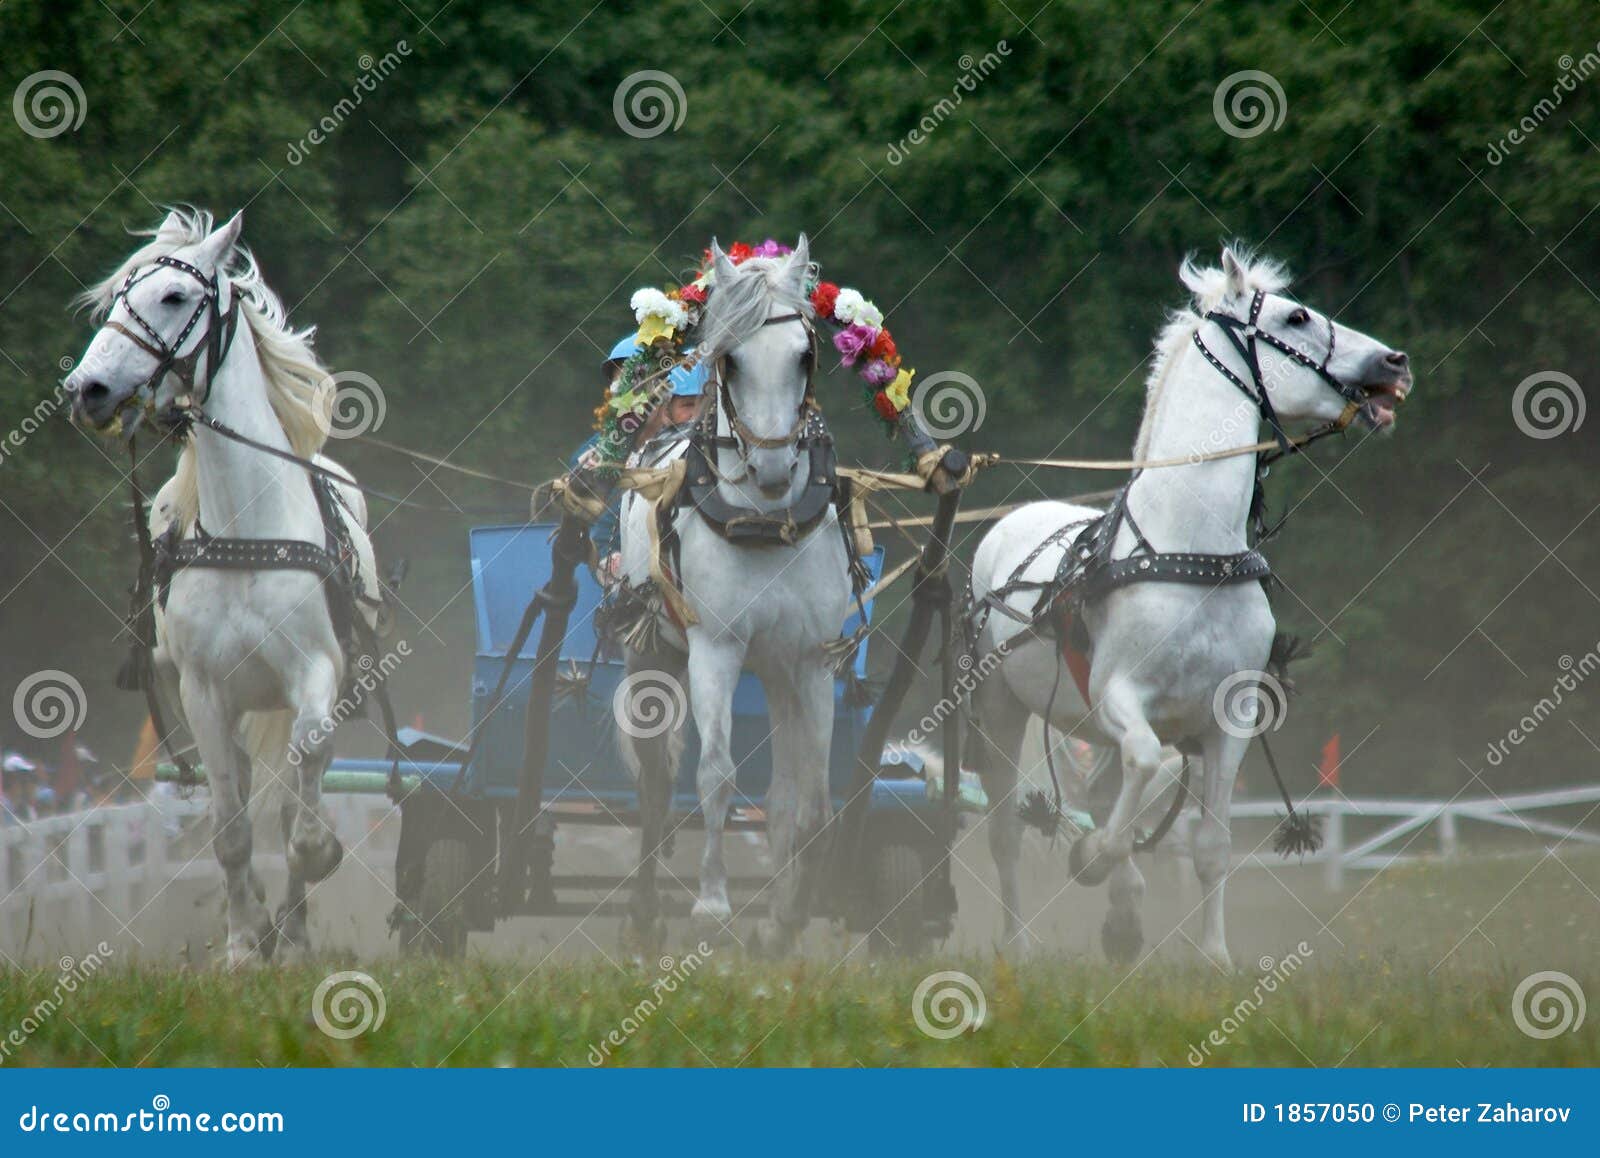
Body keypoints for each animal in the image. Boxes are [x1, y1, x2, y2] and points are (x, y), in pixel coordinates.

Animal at [66, 208, 380, 965]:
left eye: (174, 297)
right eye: (118, 295)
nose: (86, 390)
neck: (245, 527)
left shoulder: (315, 676)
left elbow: (301, 809)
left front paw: (300, 910)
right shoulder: (203, 694)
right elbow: (232, 828)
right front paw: (241, 945)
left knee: (299, 789)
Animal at [615, 235, 853, 954]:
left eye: (805, 355)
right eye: (732, 359)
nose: (773, 469)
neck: (766, 520)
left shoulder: (811, 660)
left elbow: (812, 796)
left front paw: (790, 915)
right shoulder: (714, 648)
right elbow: (714, 775)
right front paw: (713, 903)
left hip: (774, 670)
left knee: (782, 791)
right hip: (651, 653)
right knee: (657, 782)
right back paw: (644, 912)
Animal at [967, 245, 1413, 967]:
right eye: (1296, 316)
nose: (1395, 362)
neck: (1190, 552)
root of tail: (1013, 520)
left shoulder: (1229, 719)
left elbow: (1210, 845)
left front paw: (1214, 957)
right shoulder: (1118, 696)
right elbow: (1140, 773)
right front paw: (1094, 862)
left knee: (1116, 793)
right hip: (1001, 710)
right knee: (1008, 830)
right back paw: (1020, 944)